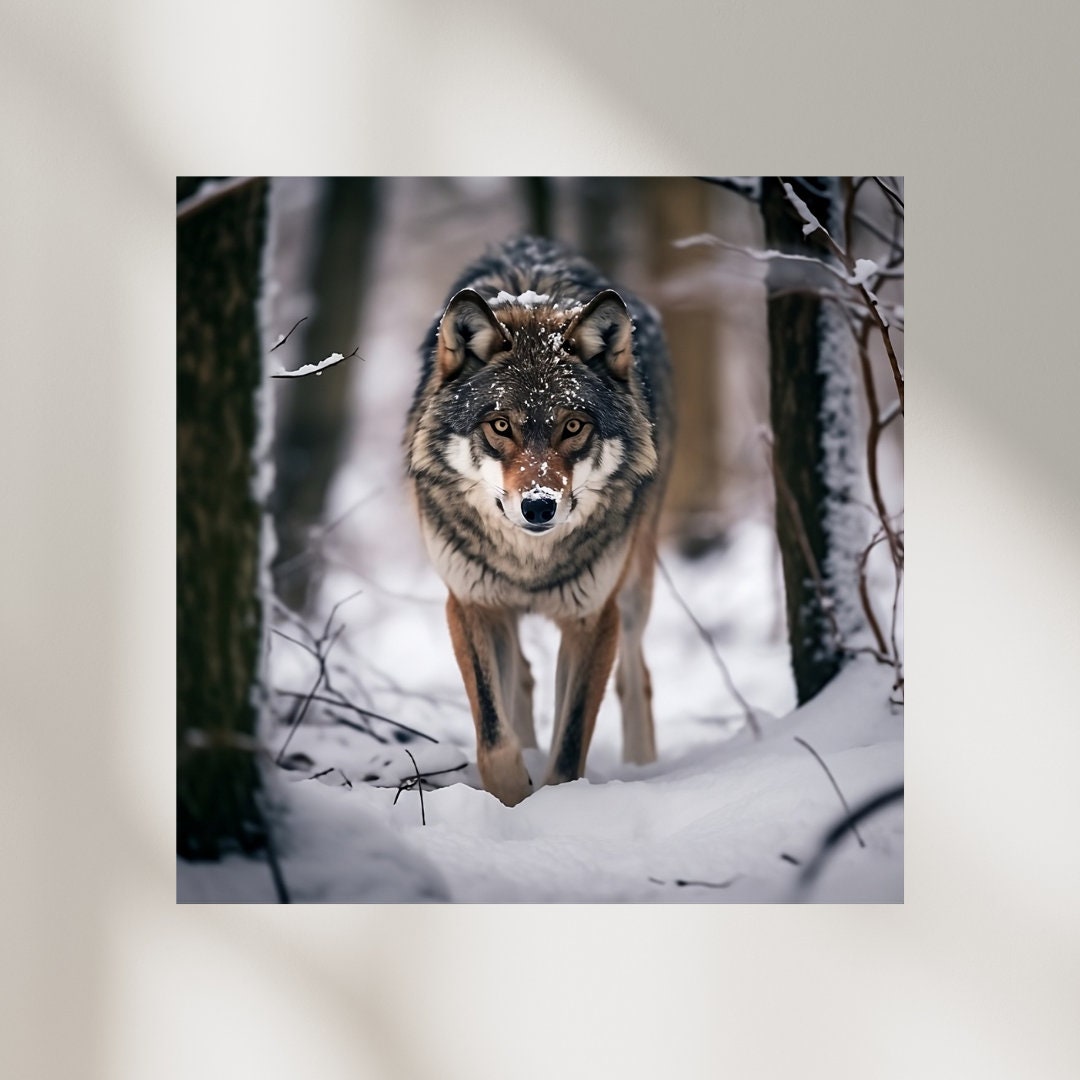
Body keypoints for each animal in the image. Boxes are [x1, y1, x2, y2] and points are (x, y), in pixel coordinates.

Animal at [406, 235, 675, 806]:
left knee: (636, 677)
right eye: (500, 426)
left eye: (572, 426)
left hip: (633, 592)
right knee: (524, 679)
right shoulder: (471, 604)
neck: (528, 563)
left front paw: (554, 805)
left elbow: (570, 744)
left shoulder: (593, 617)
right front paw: (515, 799)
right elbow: (493, 738)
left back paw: (642, 767)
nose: (539, 505)